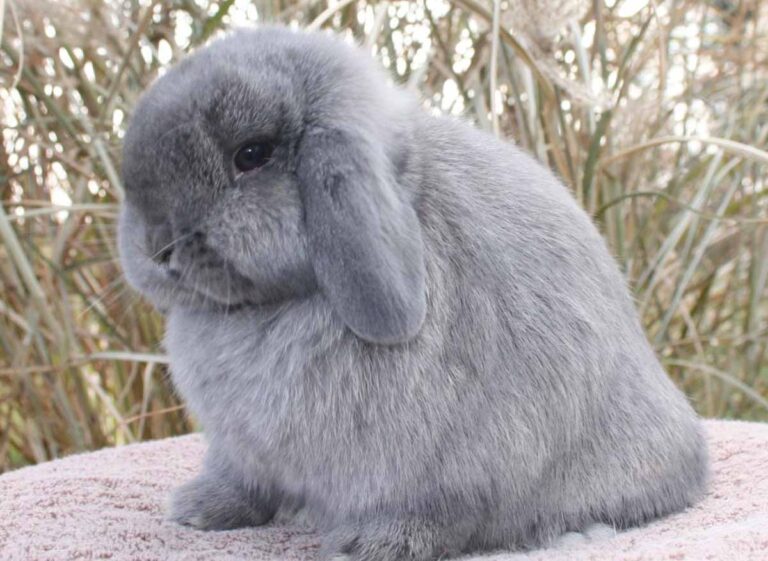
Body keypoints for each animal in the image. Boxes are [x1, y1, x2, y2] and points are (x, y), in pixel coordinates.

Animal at [118, 25, 708, 561]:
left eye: (251, 154)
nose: (156, 248)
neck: (274, 304)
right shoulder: (241, 453)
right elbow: (243, 484)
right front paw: (197, 509)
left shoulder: (444, 467)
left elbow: (435, 511)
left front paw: (372, 544)